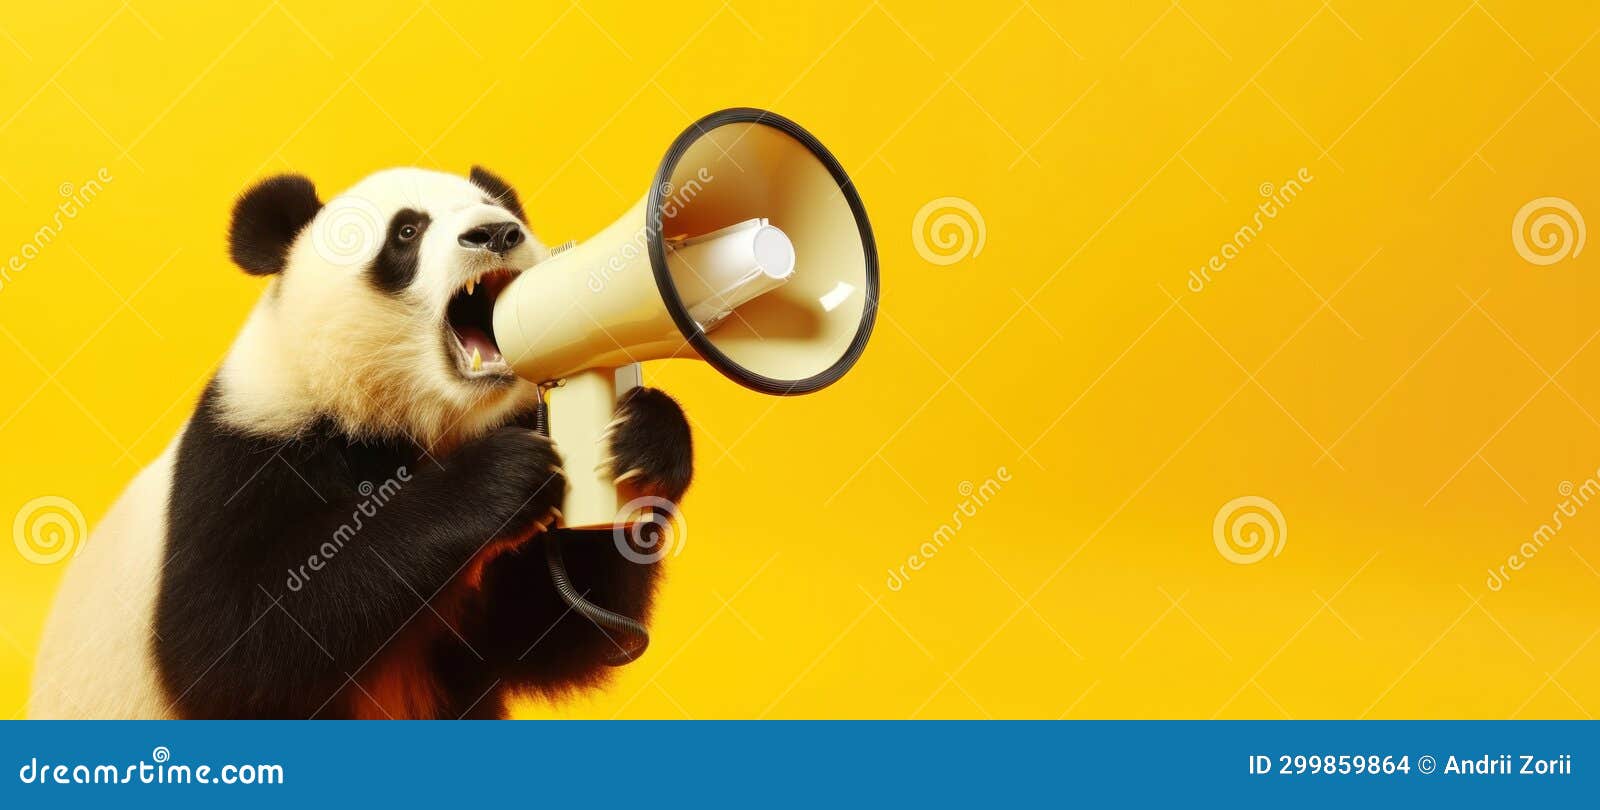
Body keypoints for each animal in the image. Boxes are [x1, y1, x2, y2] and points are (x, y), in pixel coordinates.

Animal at [29, 166, 693, 719]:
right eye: (407, 230)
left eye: (502, 212)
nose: (497, 233)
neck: (403, 419)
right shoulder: (245, 445)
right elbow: (228, 644)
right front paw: (497, 479)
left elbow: (555, 633)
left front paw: (646, 439)